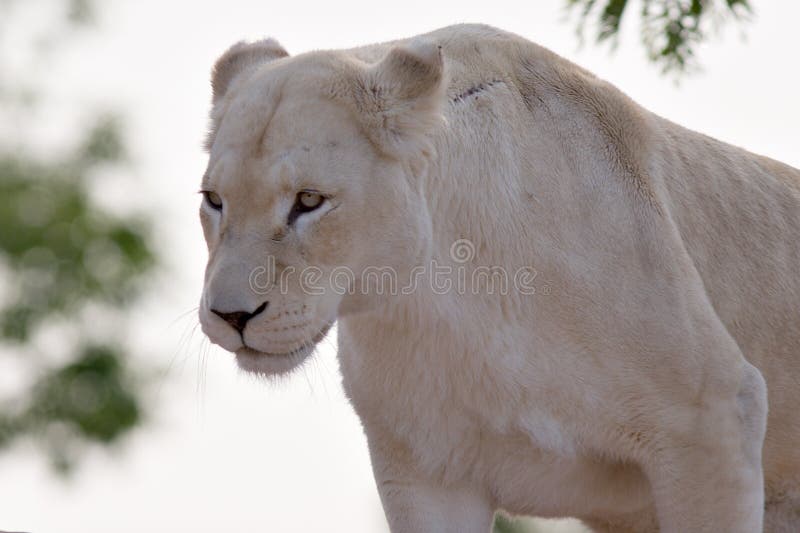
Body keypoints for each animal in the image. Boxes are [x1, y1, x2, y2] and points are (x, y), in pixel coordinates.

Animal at [198, 24, 800, 532]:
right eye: (214, 201)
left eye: (308, 201)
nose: (231, 316)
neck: (448, 301)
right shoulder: (424, 472)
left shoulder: (712, 417)